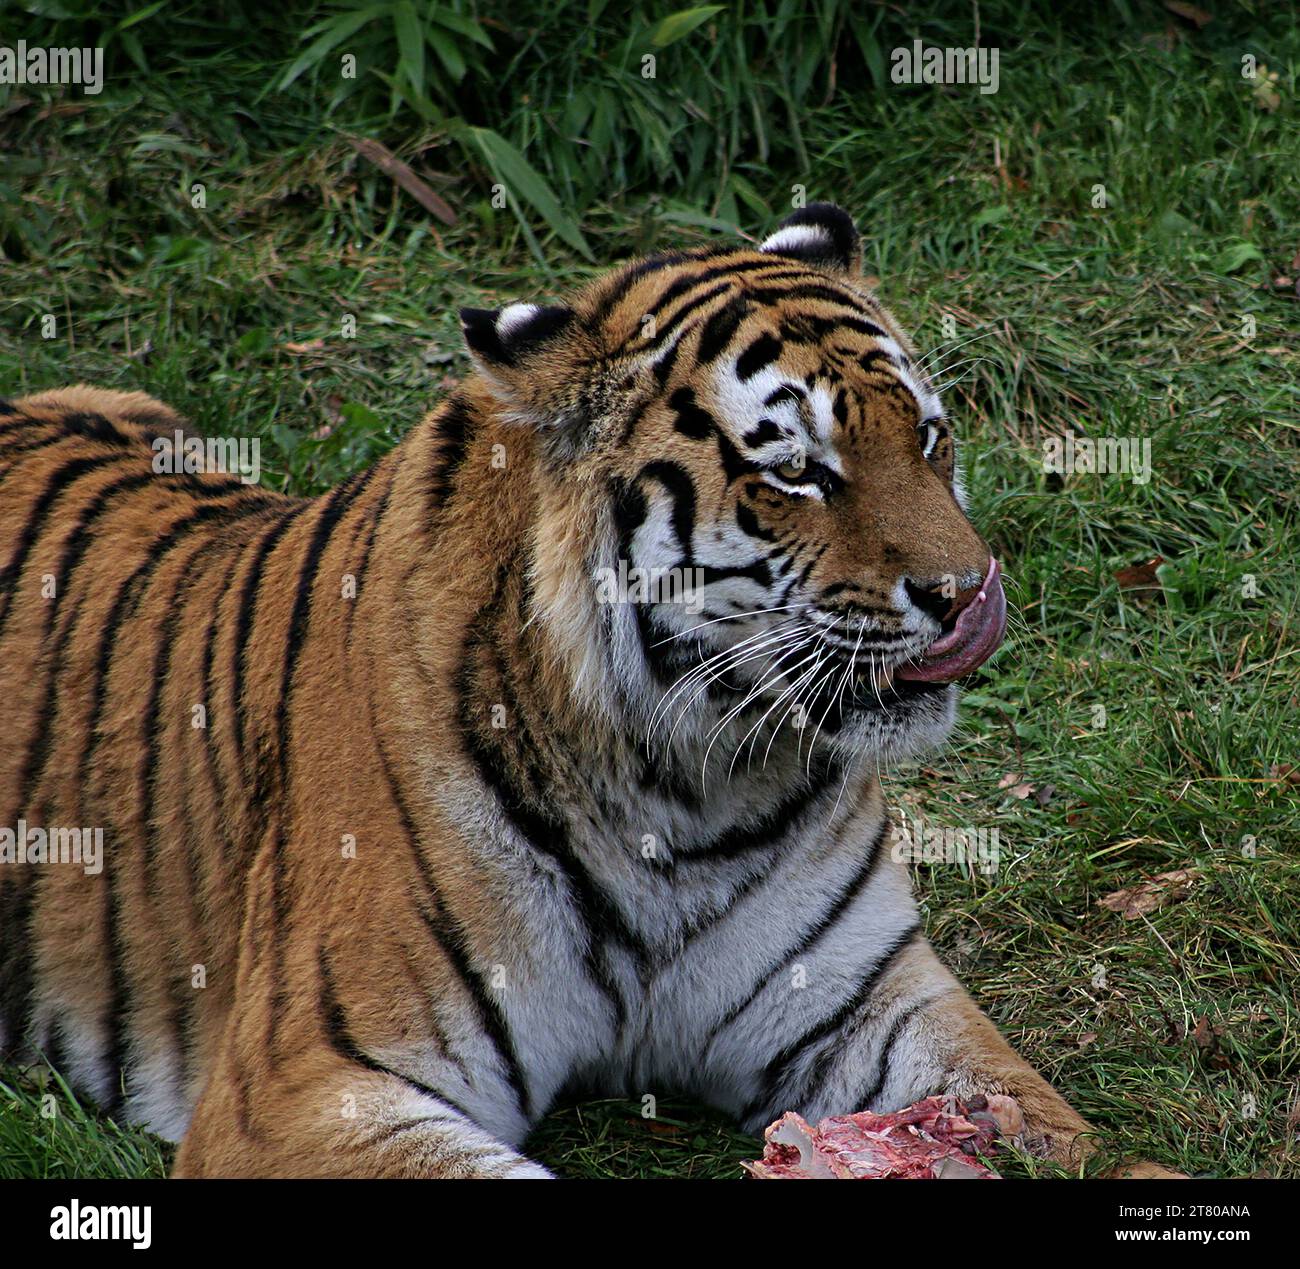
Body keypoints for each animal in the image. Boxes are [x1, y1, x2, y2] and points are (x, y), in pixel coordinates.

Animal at [0, 203, 1169, 1179]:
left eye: (928, 436)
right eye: (796, 472)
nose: (967, 594)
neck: (692, 789)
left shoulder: (865, 1004)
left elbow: (1076, 1137)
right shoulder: (306, 1085)